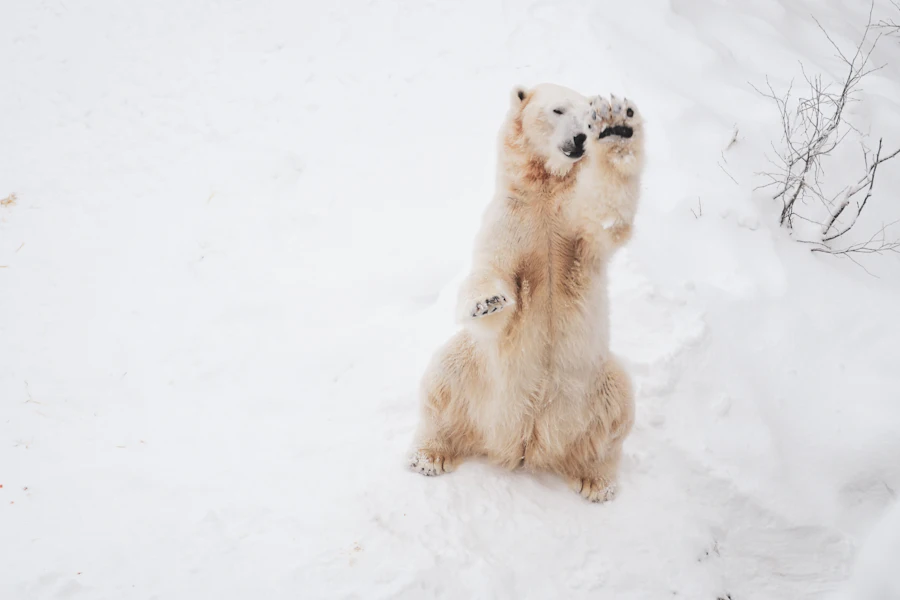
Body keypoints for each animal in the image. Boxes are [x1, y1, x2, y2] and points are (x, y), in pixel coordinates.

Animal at [409, 83, 645, 502]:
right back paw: (429, 456)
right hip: (477, 372)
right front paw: (487, 302)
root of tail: (526, 442)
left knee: (615, 413)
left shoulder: (573, 226)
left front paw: (618, 126)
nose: (581, 138)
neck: (546, 190)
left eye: (589, 113)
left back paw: (596, 481)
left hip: (596, 381)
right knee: (443, 380)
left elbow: (605, 214)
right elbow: (493, 269)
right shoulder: (511, 218)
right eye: (558, 110)